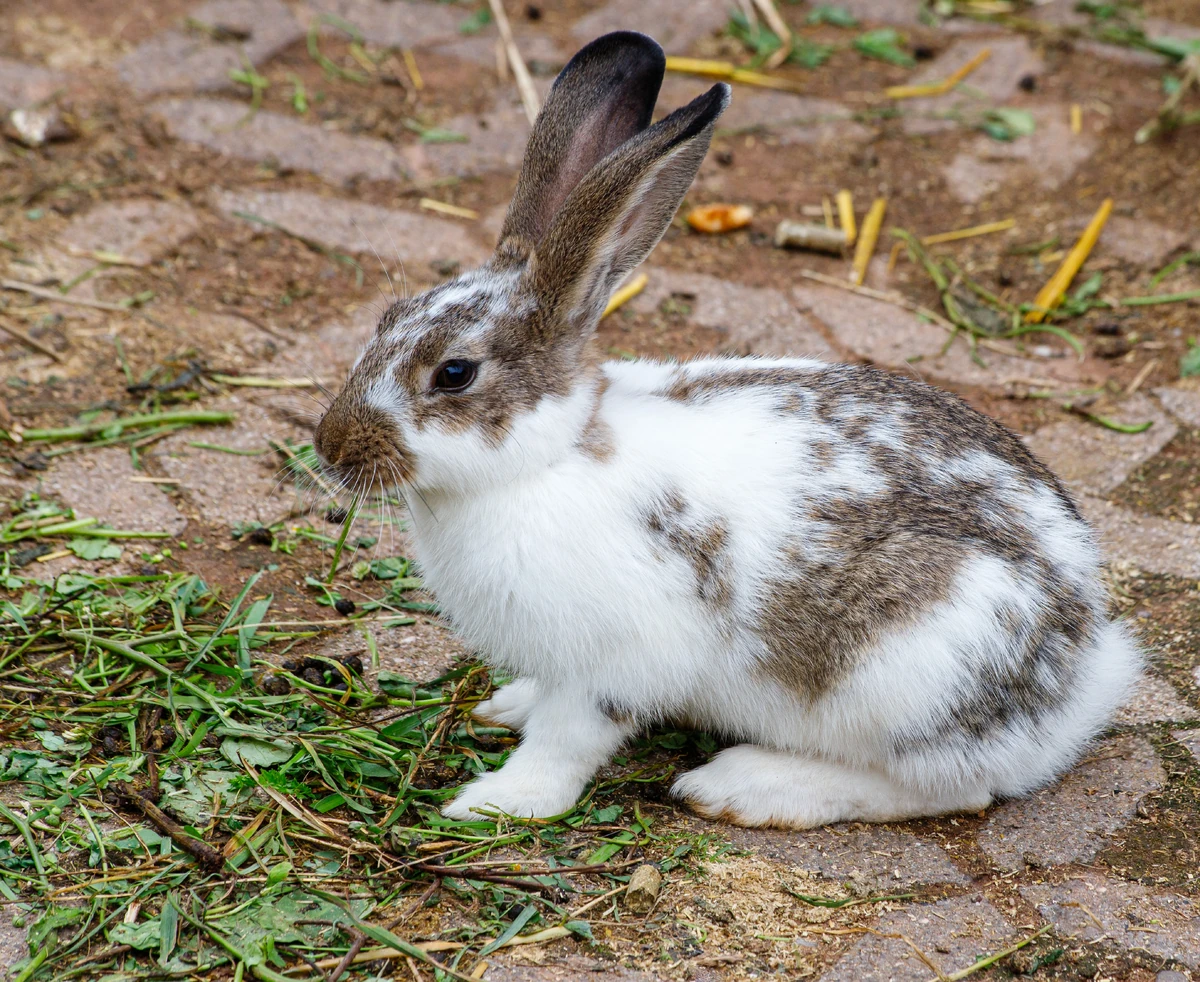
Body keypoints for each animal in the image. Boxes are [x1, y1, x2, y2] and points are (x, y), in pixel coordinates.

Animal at [313, 30, 1143, 828]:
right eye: (386, 318)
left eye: (454, 373)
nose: (331, 449)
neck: (544, 461)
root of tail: (1078, 682)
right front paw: (508, 705)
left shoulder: (613, 662)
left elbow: (565, 742)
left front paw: (499, 802)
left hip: (912, 673)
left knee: (953, 789)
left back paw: (747, 786)